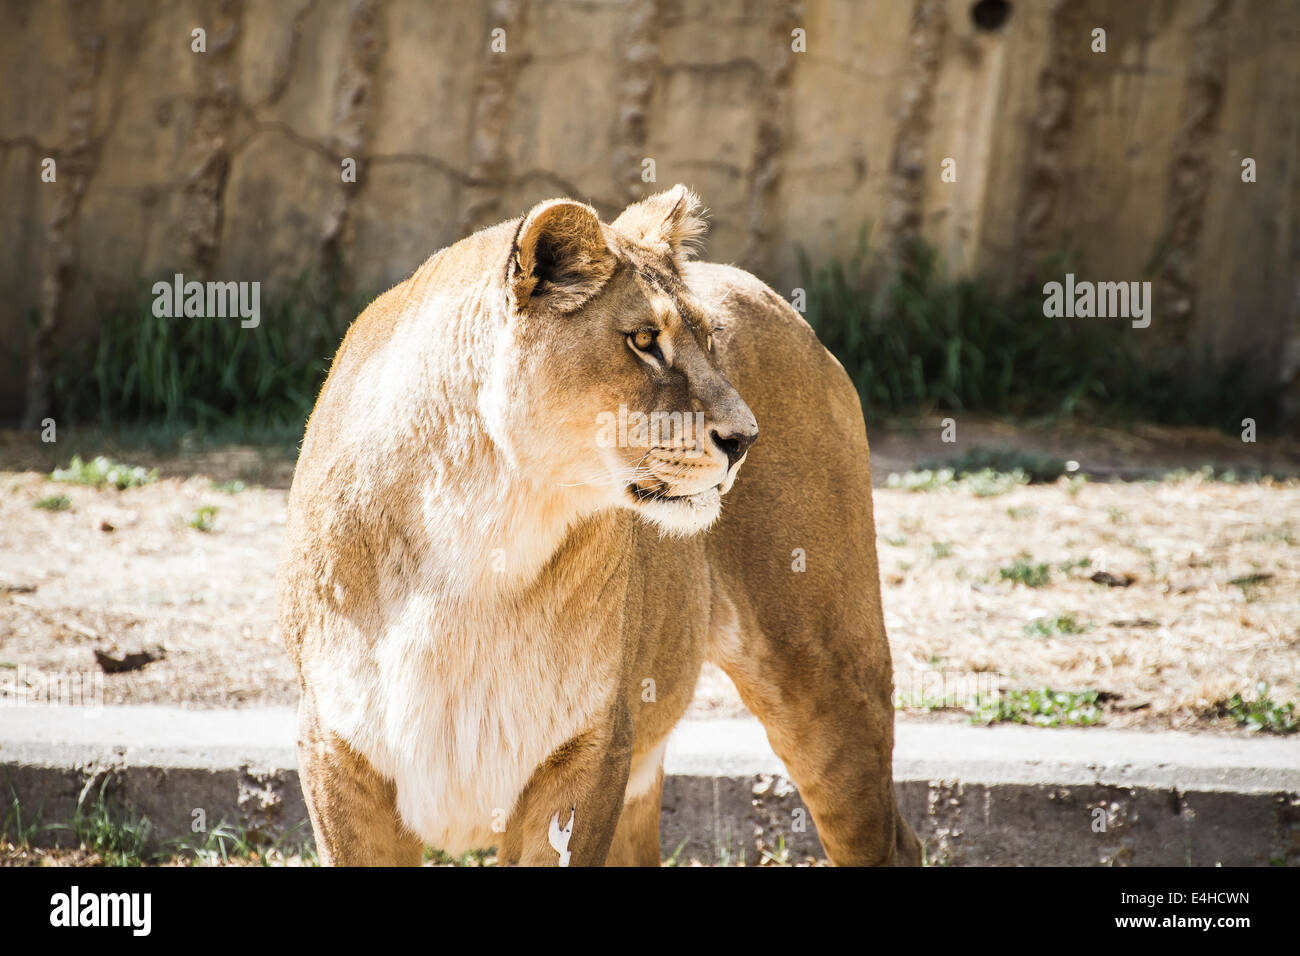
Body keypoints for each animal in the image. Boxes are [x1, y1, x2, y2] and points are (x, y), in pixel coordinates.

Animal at [278, 185, 922, 866]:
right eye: (643, 339)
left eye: (710, 341)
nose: (746, 439)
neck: (480, 533)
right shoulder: (335, 750)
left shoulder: (588, 749)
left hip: (824, 676)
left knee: (892, 839)